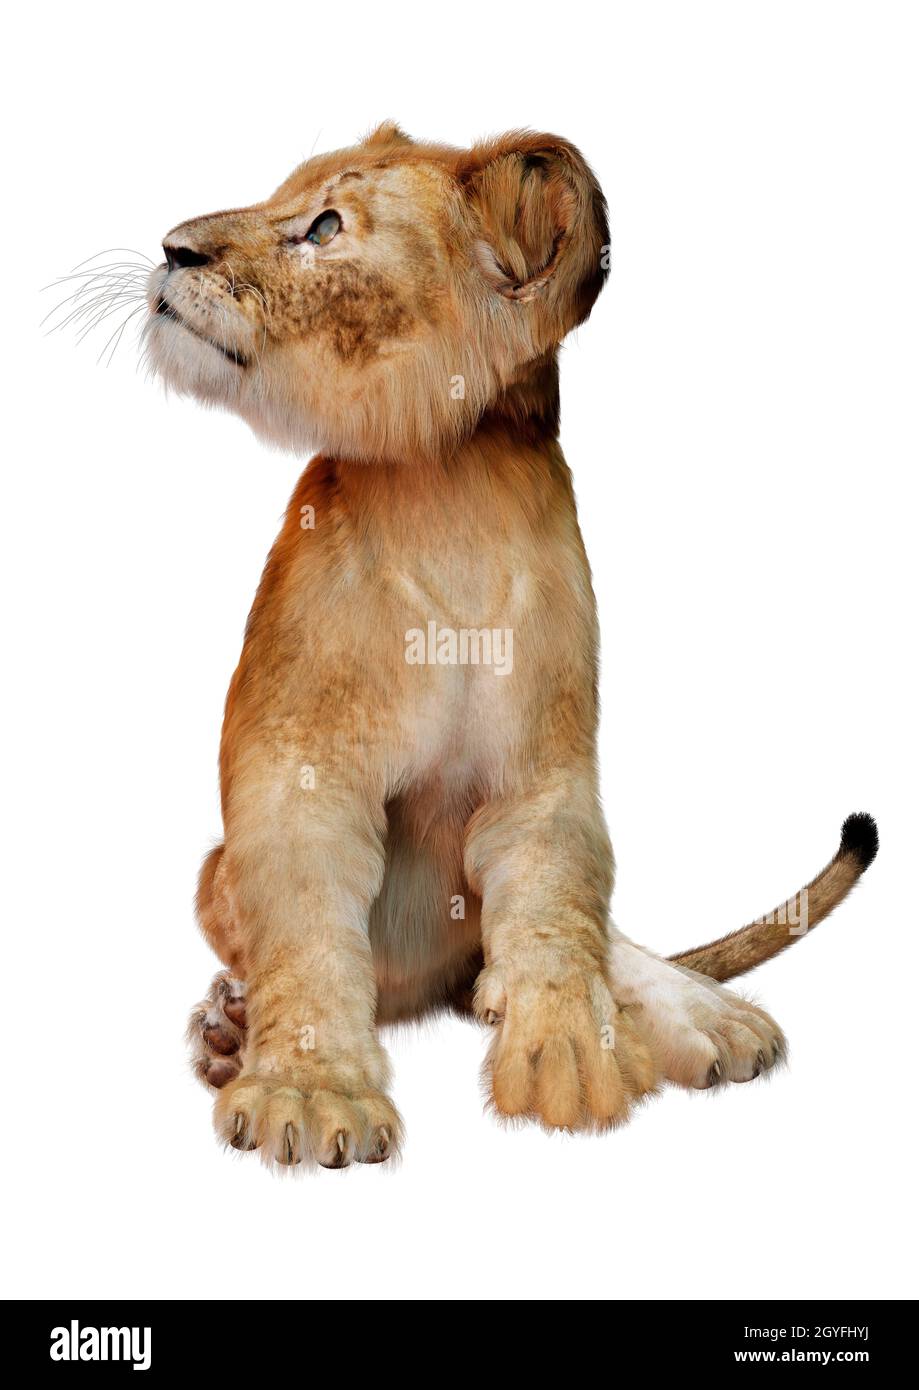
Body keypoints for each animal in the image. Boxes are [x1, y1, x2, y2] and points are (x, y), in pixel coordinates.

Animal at [139, 122, 876, 1168]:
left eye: (324, 226)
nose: (171, 250)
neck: (440, 488)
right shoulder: (296, 764)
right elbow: (309, 927)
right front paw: (308, 1095)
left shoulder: (545, 770)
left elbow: (558, 913)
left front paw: (570, 1054)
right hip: (217, 870)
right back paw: (228, 1028)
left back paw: (699, 1018)